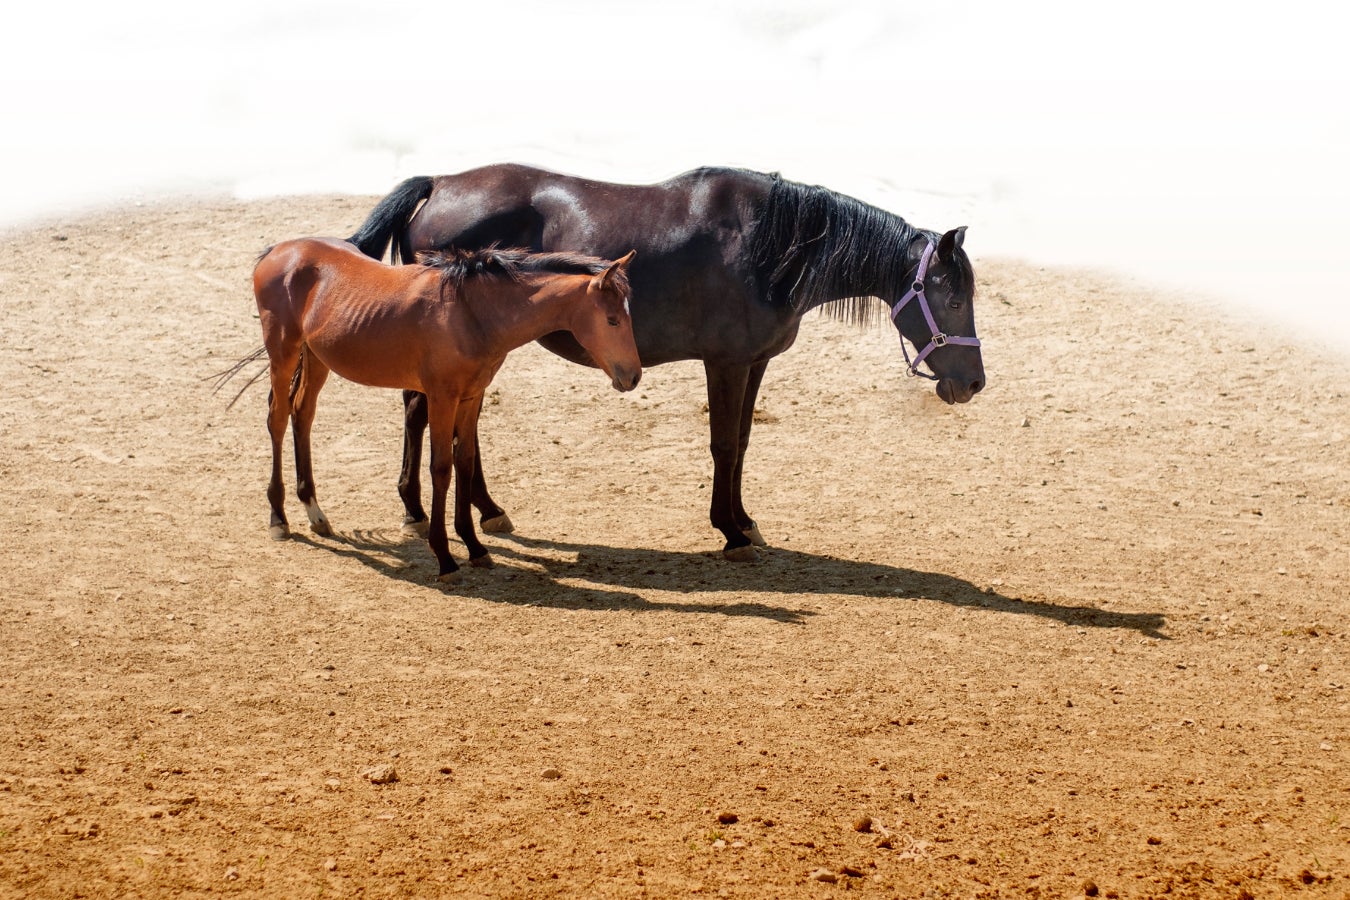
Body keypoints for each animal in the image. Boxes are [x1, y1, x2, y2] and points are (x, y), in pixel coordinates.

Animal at [250, 237, 640, 582]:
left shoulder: (470, 397)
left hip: (316, 357)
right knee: (278, 419)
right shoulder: (441, 397)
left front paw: (474, 545)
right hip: (283, 353)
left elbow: (464, 461)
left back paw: (314, 512)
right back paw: (278, 518)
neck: (470, 313)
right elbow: (441, 468)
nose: (633, 376)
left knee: (303, 414)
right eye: (612, 320)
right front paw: (444, 556)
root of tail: (279, 251)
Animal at [348, 164, 985, 560]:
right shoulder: (726, 363)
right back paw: (432, 510)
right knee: (428, 413)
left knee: (450, 421)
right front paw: (729, 530)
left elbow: (743, 442)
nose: (973, 382)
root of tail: (441, 184)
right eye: (954, 298)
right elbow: (723, 443)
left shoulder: (755, 362)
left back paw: (479, 510)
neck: (768, 247)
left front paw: (744, 519)